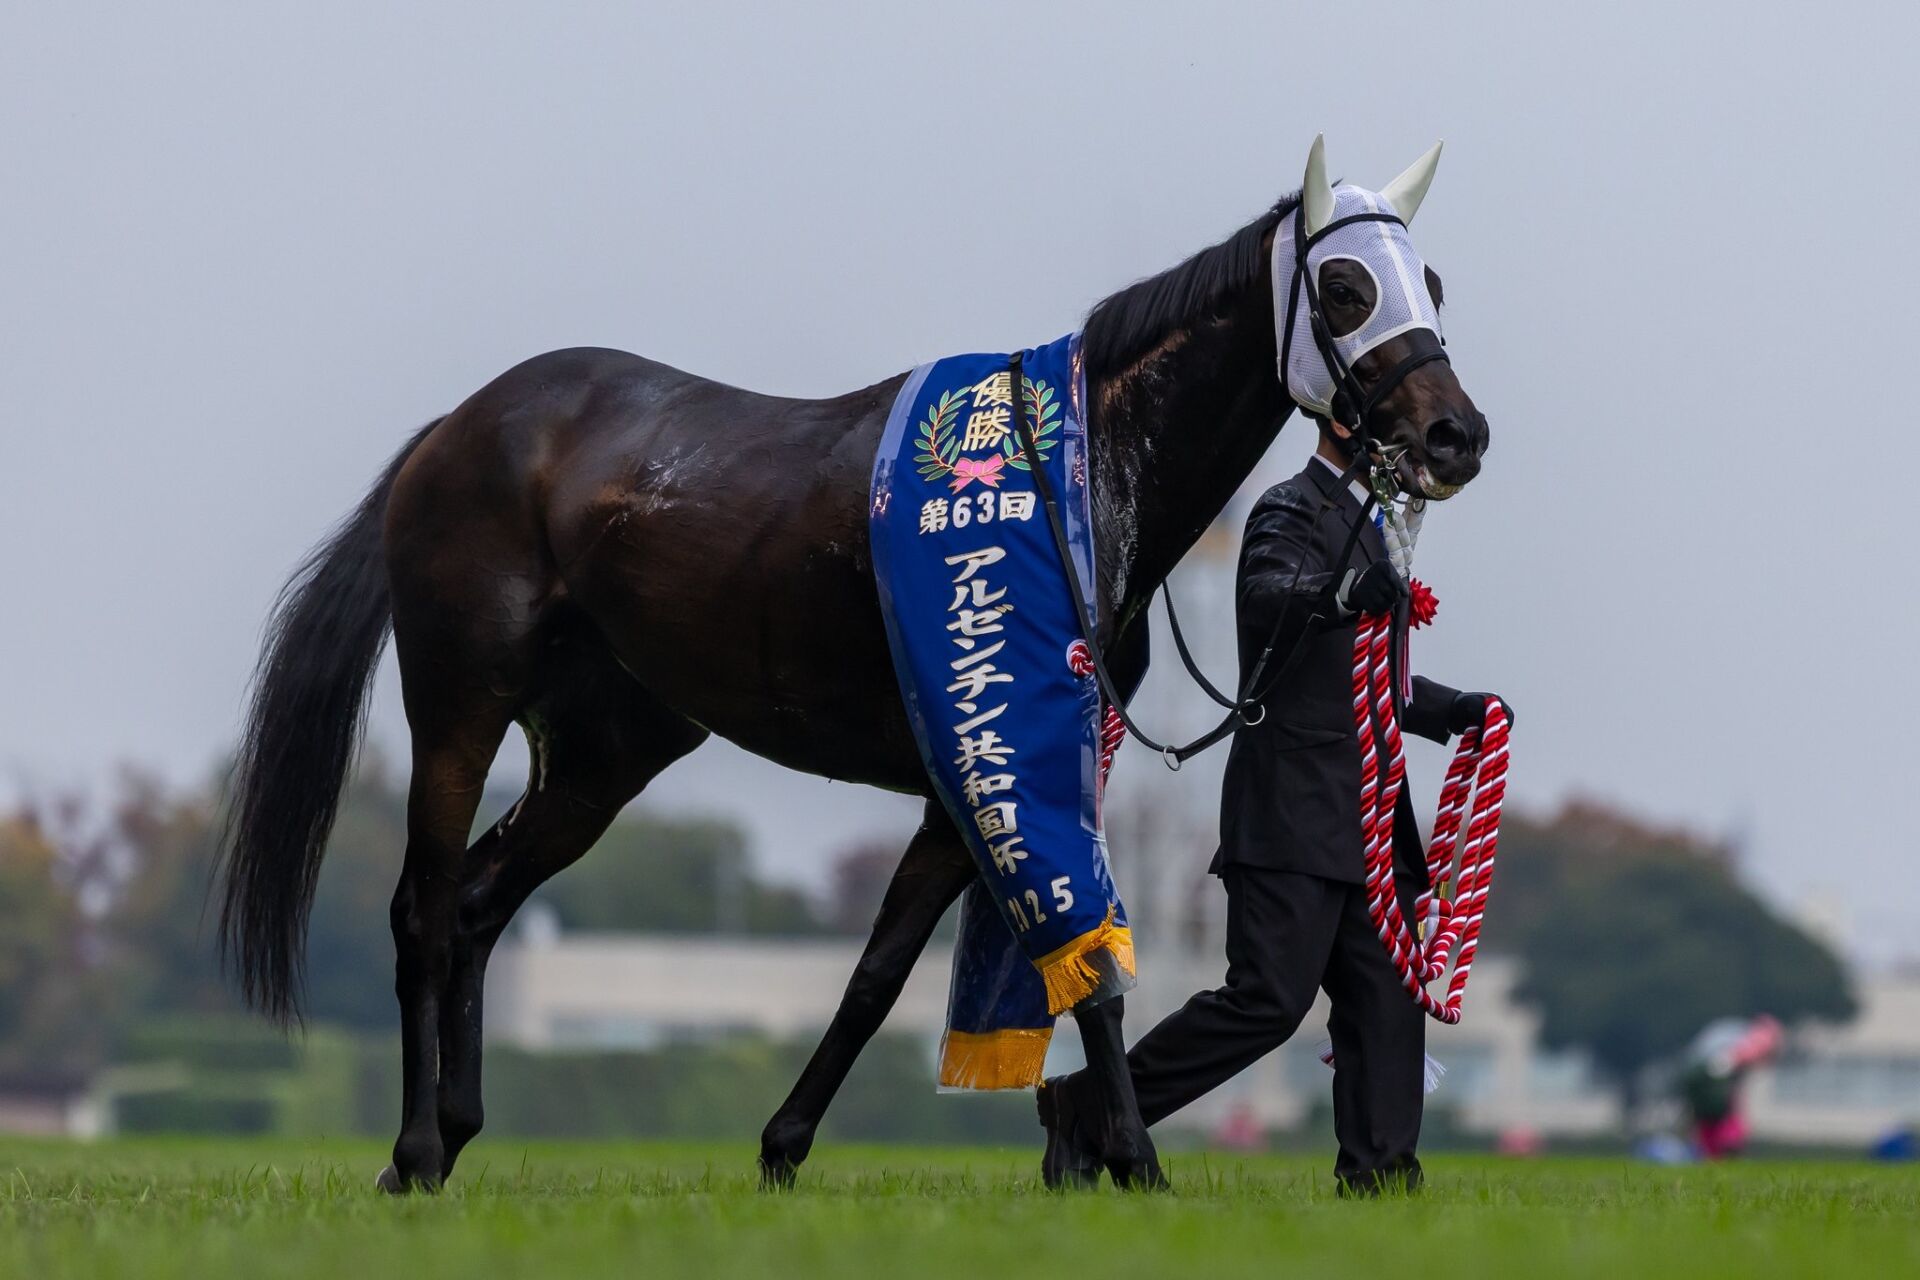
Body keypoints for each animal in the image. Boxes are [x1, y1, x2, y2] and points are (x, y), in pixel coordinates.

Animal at [218, 137, 1489, 1193]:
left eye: (1429, 284)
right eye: (1345, 286)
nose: (1454, 434)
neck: (1076, 479)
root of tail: (460, 427)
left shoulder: (979, 775)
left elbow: (889, 972)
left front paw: (787, 1147)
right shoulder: (997, 751)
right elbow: (1094, 973)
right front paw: (1133, 1157)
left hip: (603, 749)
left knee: (483, 900)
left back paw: (457, 1130)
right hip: (460, 697)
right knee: (426, 906)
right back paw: (413, 1149)